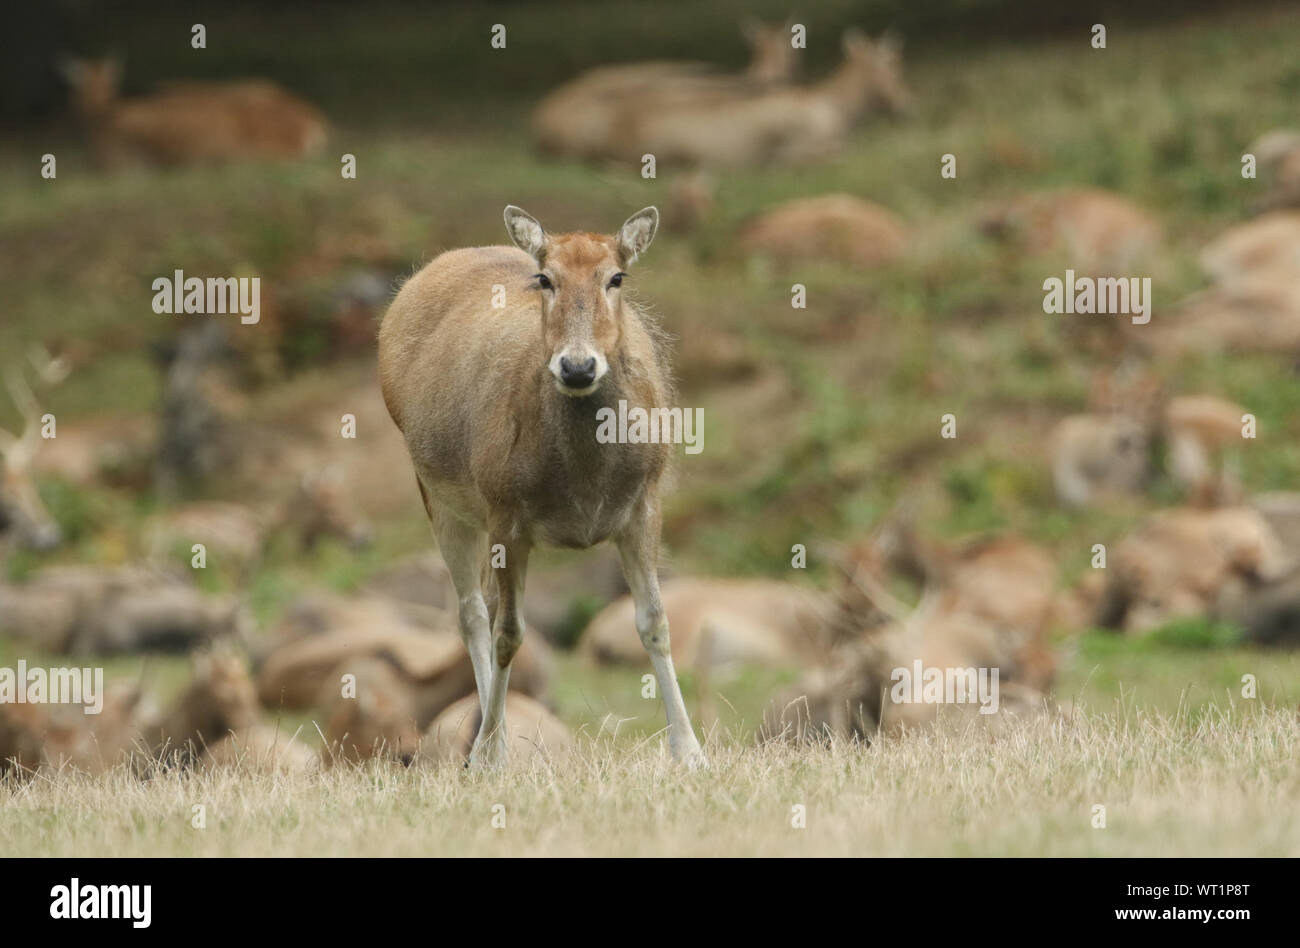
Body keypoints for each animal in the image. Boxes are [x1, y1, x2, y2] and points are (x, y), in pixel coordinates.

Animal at [378, 205, 704, 769]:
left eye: (616, 277)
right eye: (546, 279)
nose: (576, 366)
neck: (584, 479)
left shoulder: (646, 499)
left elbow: (655, 621)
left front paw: (690, 751)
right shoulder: (505, 510)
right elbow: (509, 633)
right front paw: (490, 754)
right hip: (440, 492)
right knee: (471, 613)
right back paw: (485, 745)